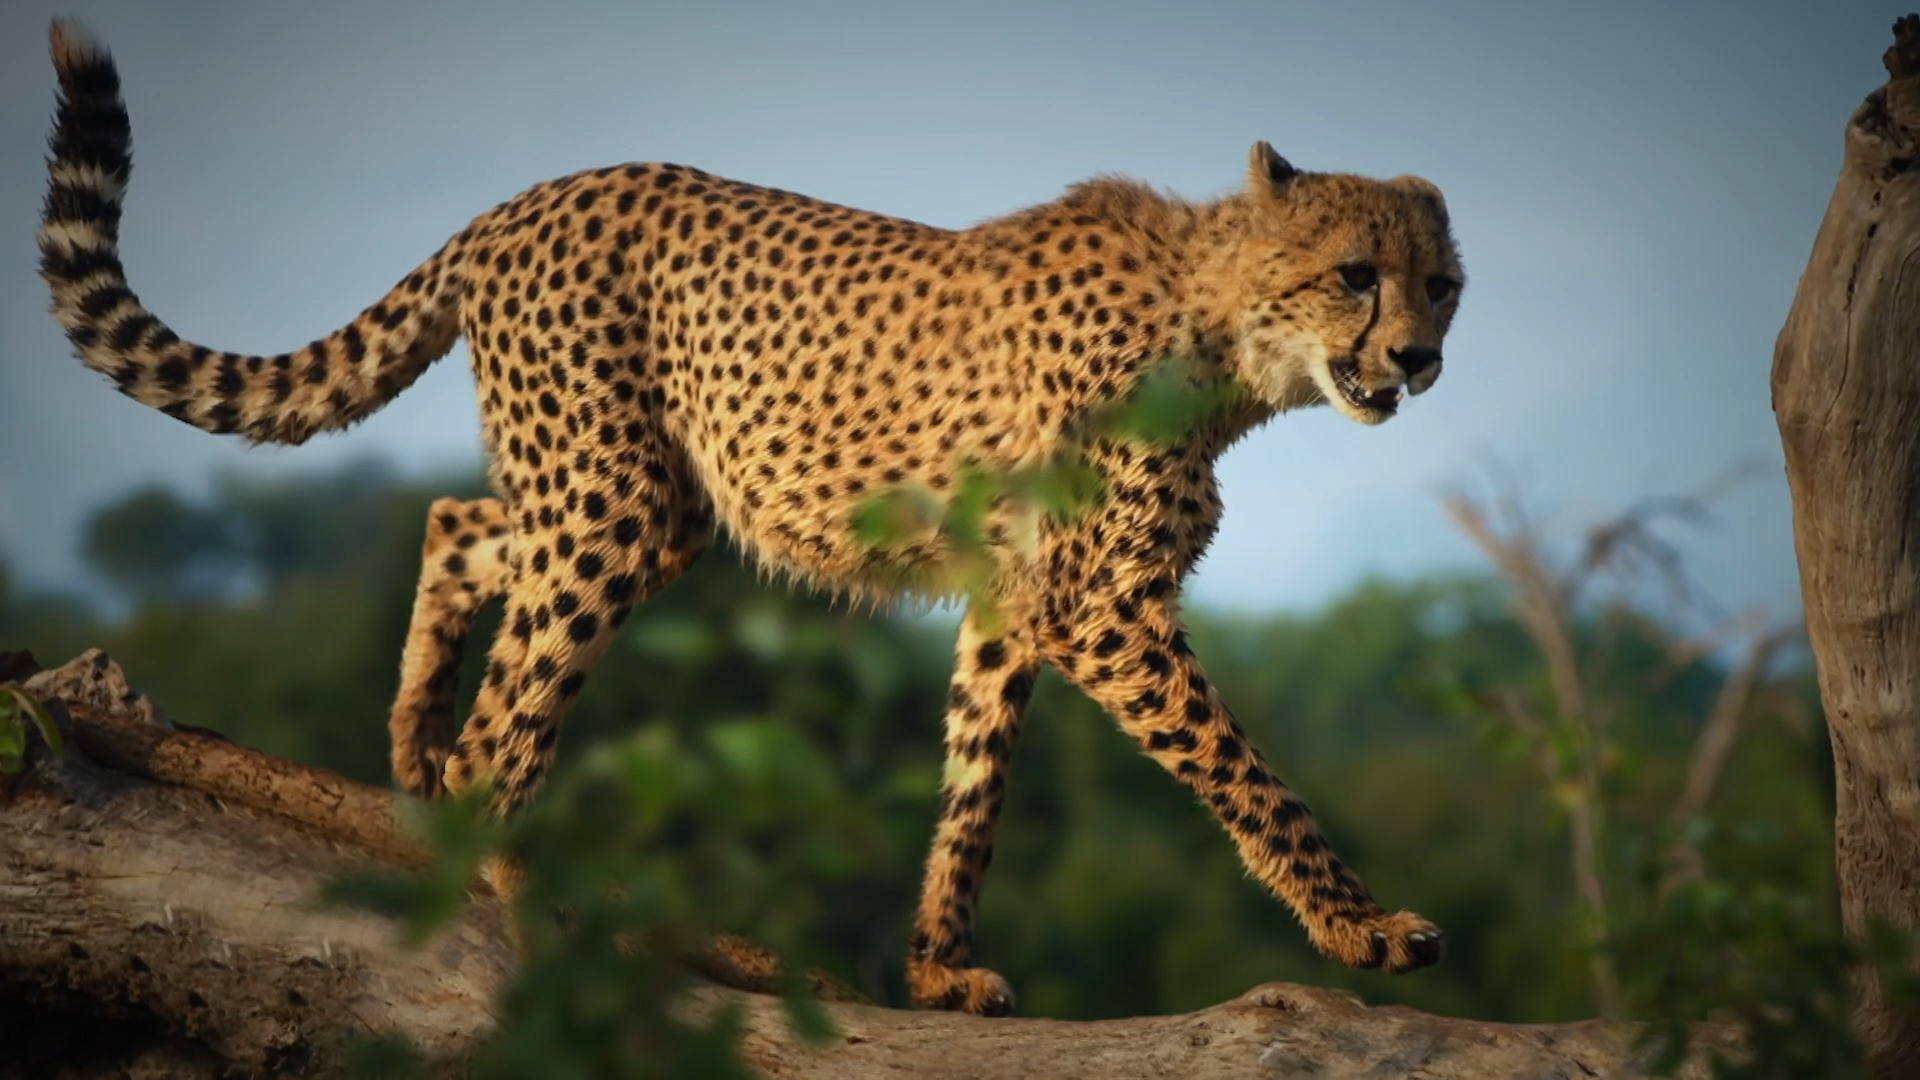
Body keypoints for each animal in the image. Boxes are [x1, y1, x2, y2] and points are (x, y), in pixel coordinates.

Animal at [38, 18, 1465, 1016]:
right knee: (510, 719)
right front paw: (1363, 927)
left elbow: (976, 780)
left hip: (635, 499)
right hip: (610, 499)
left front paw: (938, 970)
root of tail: (524, 198)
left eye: (1443, 284)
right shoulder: (1100, 604)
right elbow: (1245, 773)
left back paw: (413, 748)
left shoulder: (1012, 599)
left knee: (453, 523)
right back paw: (521, 884)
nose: (1419, 360)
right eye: (1357, 275)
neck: (1228, 332)